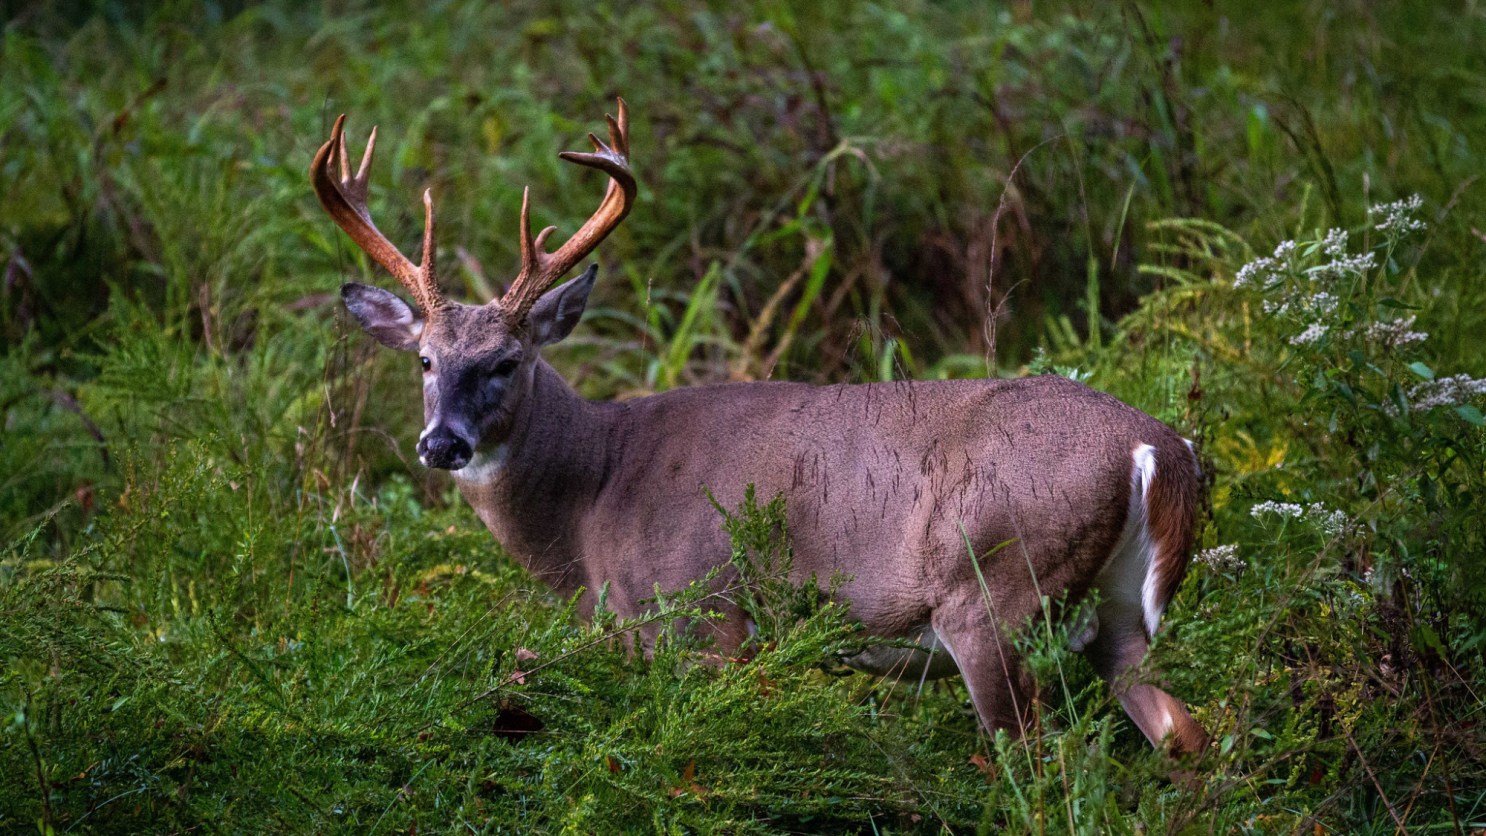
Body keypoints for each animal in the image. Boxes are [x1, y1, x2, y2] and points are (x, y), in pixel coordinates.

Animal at [311, 99, 1209, 757]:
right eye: (424, 359)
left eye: (506, 360)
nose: (442, 444)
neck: (594, 495)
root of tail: (1158, 449)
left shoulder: (702, 614)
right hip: (1120, 613)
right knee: (1183, 733)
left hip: (994, 592)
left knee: (1040, 752)